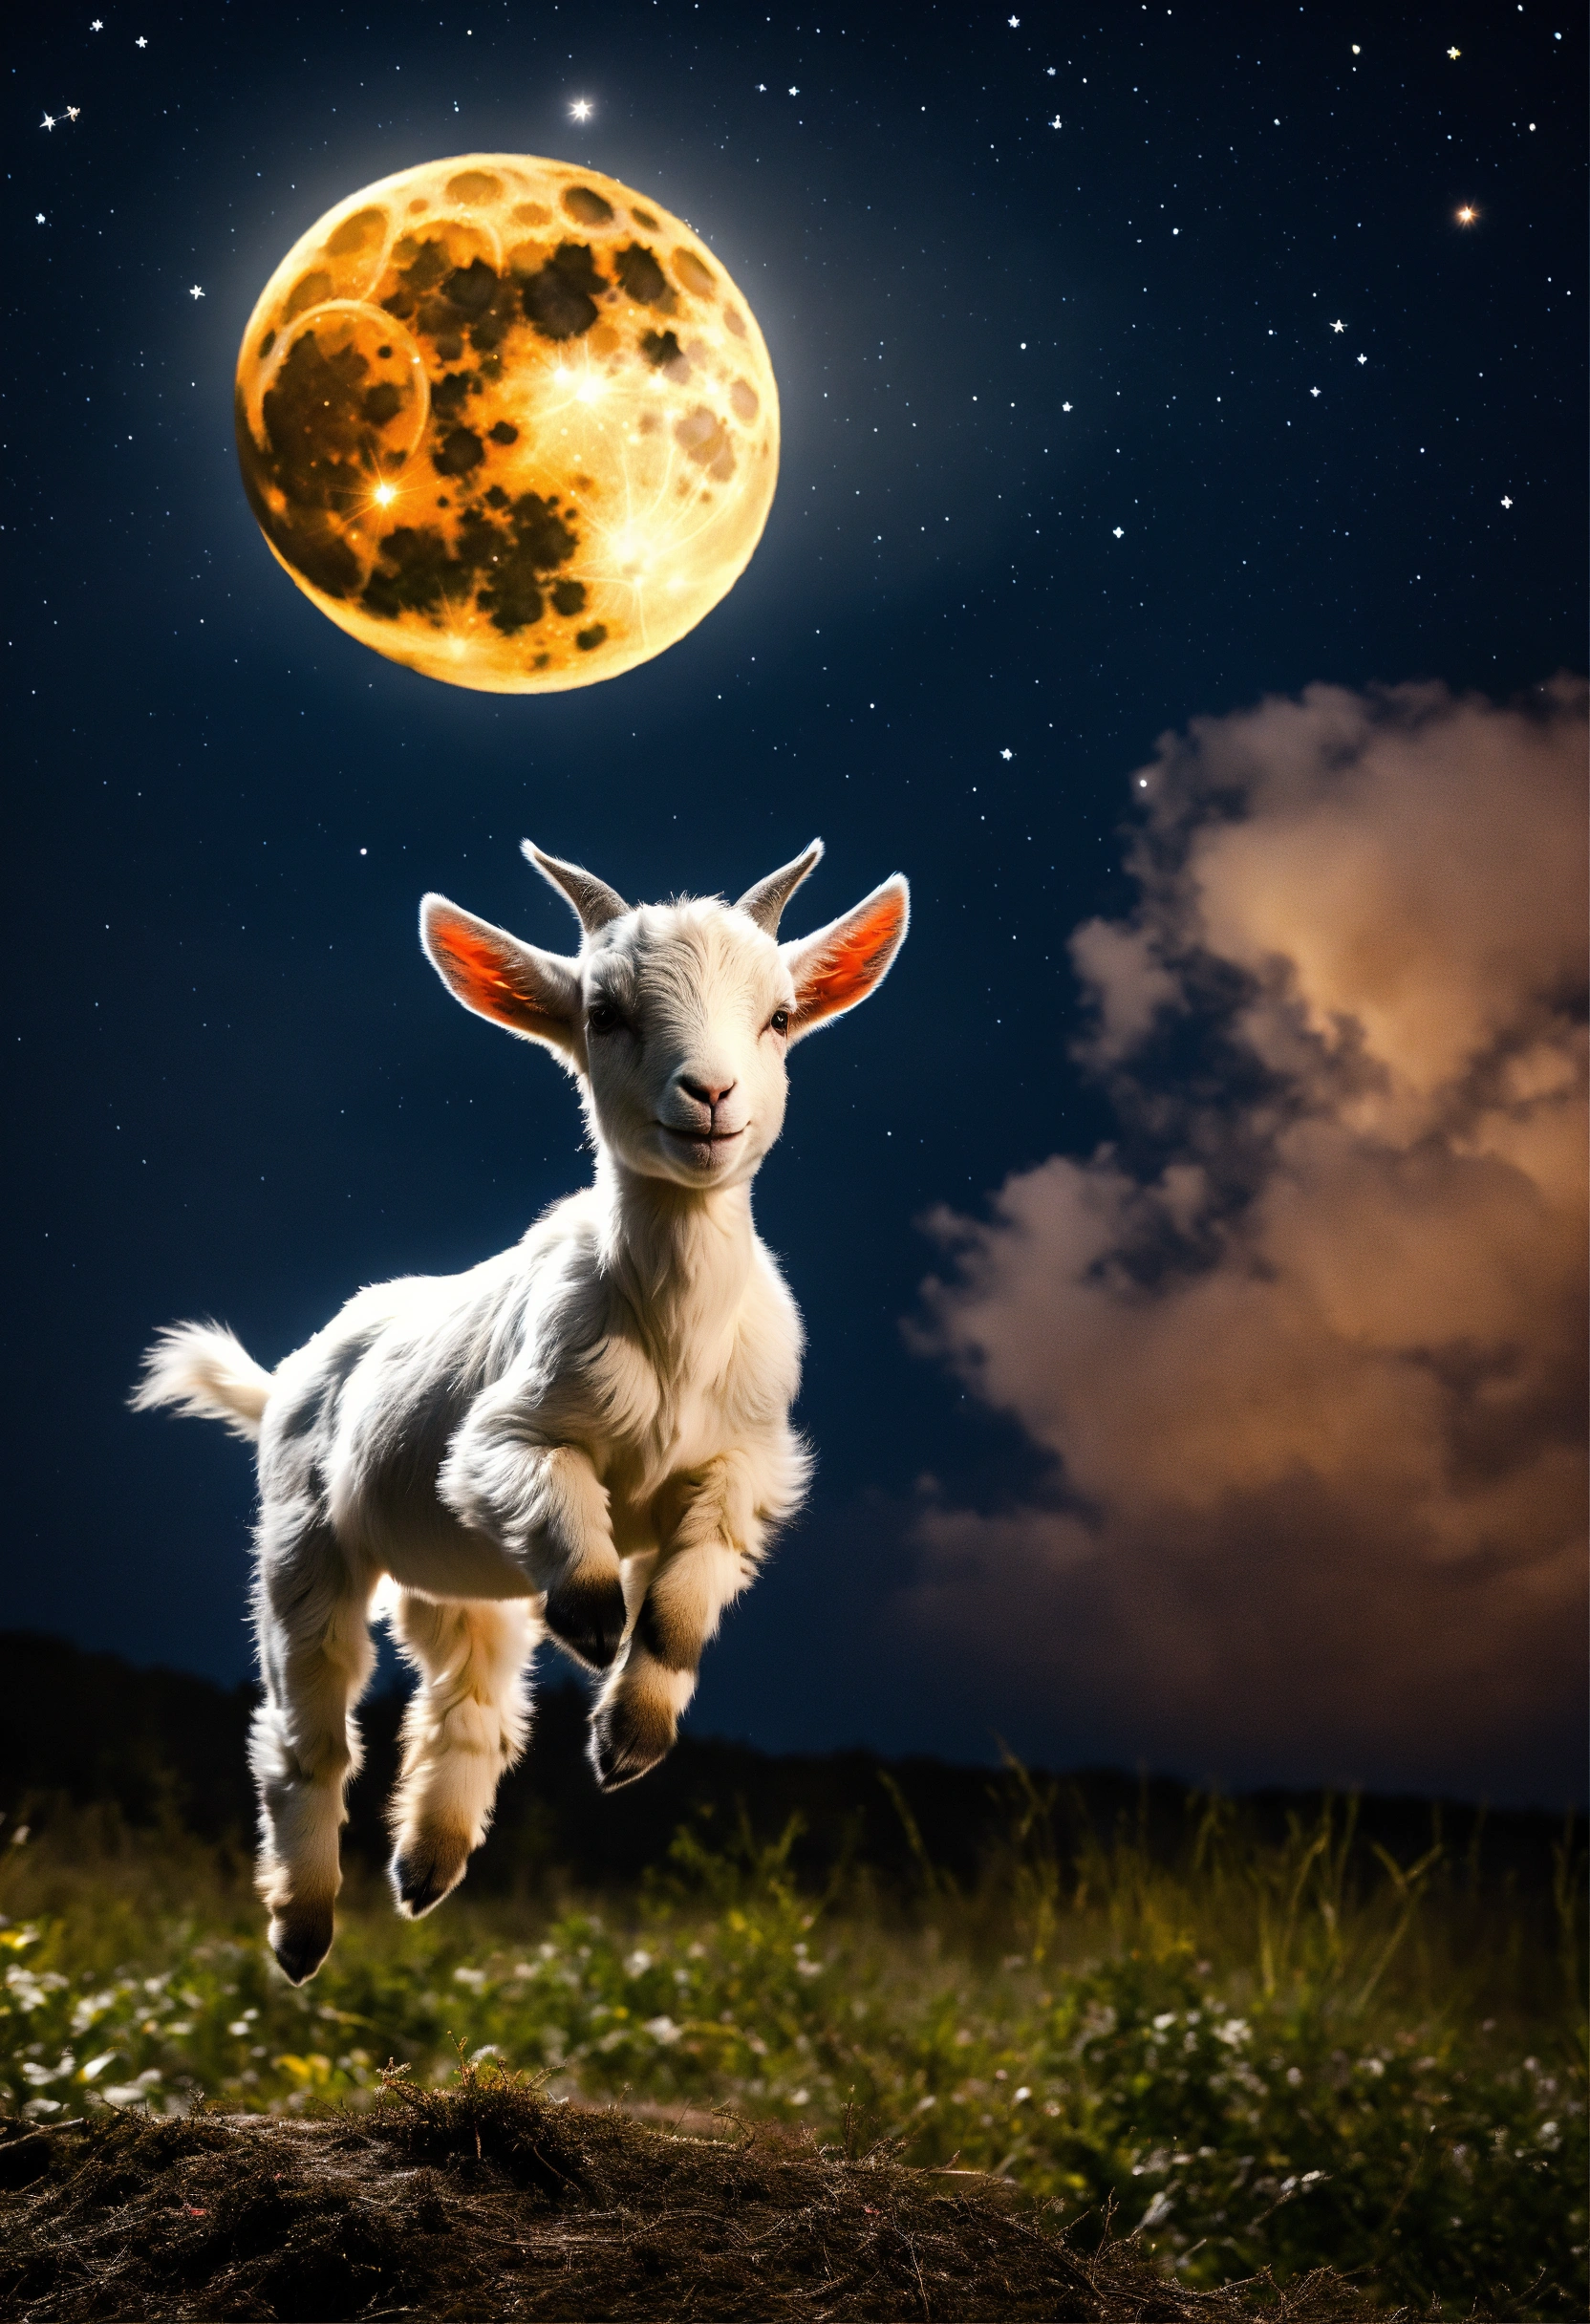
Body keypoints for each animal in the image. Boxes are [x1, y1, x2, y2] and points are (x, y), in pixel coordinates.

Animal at [134, 840, 908, 1984]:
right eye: (605, 1013)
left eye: (778, 1015)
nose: (710, 1095)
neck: (674, 1331)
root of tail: (290, 1375)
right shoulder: (505, 1441)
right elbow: (568, 1522)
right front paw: (589, 1625)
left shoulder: (745, 1467)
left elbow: (679, 1605)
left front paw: (628, 1742)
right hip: (304, 1537)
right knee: (308, 1723)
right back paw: (304, 1927)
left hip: (459, 1576)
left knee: (467, 1699)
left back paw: (427, 1864)